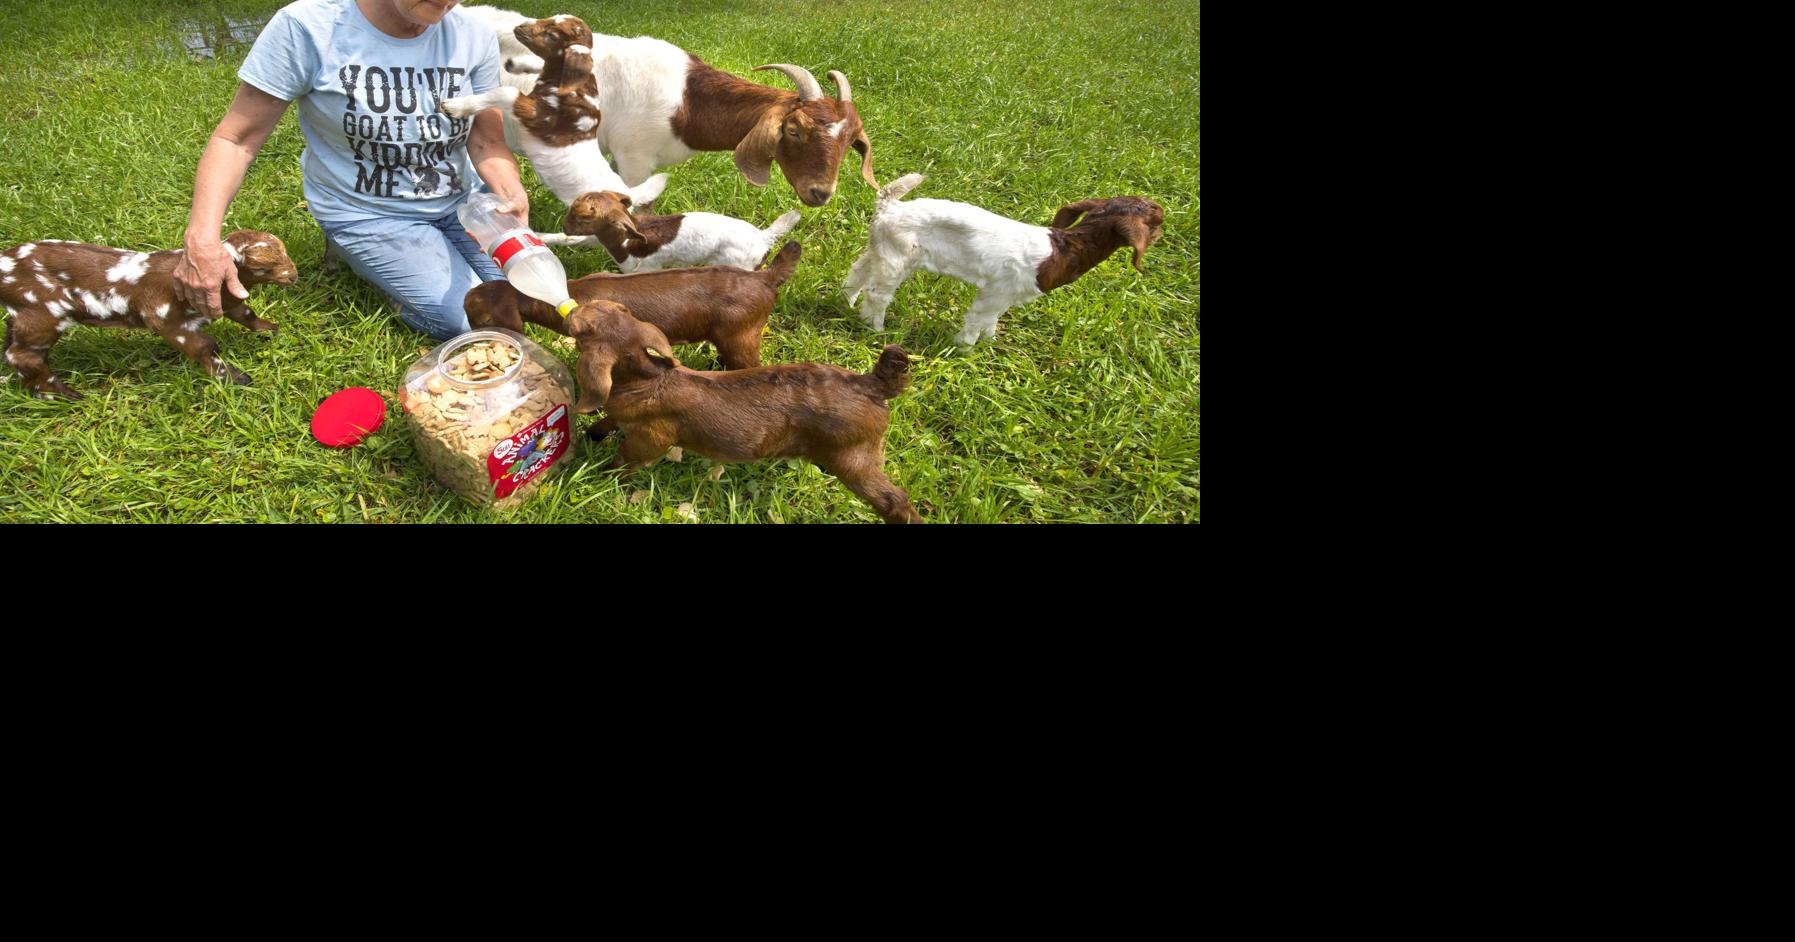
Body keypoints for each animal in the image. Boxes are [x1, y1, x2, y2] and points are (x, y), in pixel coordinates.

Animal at [1, 232, 297, 399]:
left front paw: (271, 330)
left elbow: (247, 314)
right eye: (263, 266)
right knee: (24, 356)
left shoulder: (229, 301)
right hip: (41, 314)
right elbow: (205, 347)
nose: (293, 276)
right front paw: (235, 378)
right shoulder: (167, 320)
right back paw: (63, 395)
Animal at [539, 190, 801, 273]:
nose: (564, 225)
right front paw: (540, 237)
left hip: (739, 264)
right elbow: (570, 240)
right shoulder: (598, 237)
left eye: (583, 217)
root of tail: (763, 236)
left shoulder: (646, 269)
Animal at [568, 300, 922, 523]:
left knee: (894, 499)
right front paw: (592, 435)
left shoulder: (651, 436)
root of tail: (871, 384)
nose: (576, 307)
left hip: (852, 455)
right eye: (621, 309)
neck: (648, 379)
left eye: (584, 329)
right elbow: (608, 420)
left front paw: (602, 477)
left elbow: (627, 458)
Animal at [842, 174, 1165, 344]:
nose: (1162, 233)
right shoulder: (997, 290)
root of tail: (890, 205)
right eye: (1155, 220)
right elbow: (978, 318)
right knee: (878, 294)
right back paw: (877, 328)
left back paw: (847, 301)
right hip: (896, 256)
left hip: (880, 247)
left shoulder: (1006, 295)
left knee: (858, 271)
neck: (1061, 250)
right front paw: (965, 350)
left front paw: (990, 342)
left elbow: (992, 320)